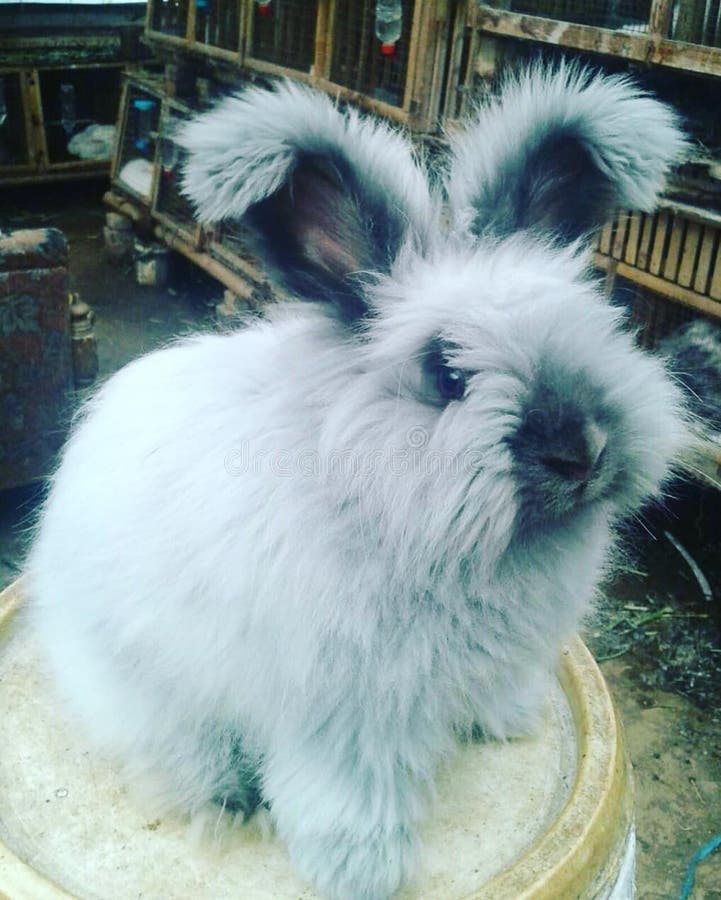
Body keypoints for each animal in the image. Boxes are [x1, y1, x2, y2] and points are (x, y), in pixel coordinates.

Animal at [27, 64, 689, 900]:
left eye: (600, 327)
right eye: (445, 373)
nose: (583, 450)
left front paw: (507, 724)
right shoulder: (340, 716)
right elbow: (345, 796)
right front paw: (360, 870)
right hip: (139, 679)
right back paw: (222, 799)